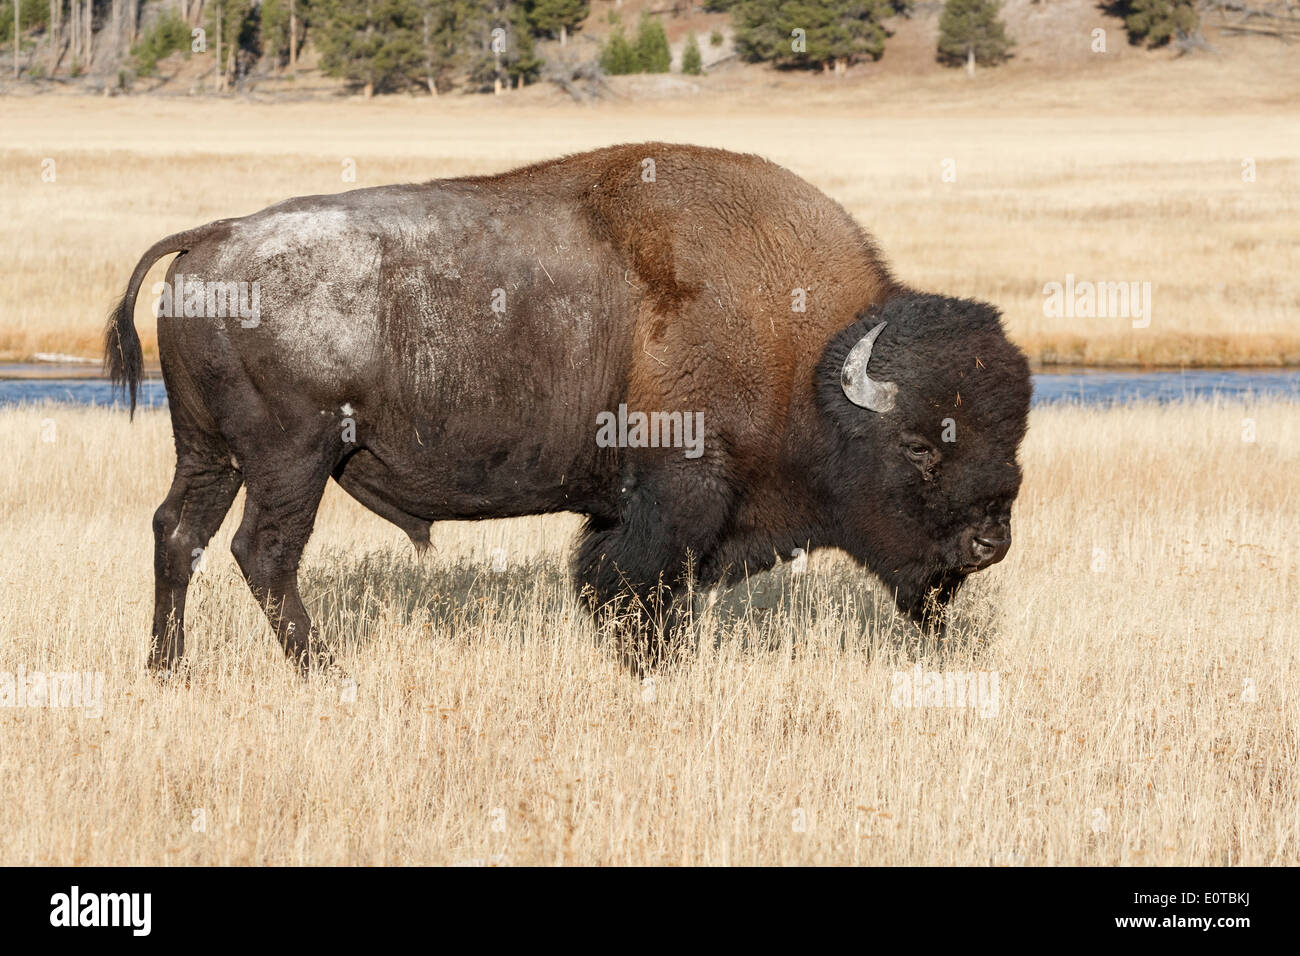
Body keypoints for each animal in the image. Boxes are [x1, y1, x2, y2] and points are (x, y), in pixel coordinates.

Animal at [105, 143, 1031, 675]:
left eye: (1013, 439)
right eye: (921, 446)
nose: (991, 541)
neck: (809, 359)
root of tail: (210, 238)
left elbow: (608, 580)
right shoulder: (679, 496)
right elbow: (638, 586)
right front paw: (652, 667)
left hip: (209, 451)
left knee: (177, 534)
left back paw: (168, 669)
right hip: (290, 459)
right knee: (262, 554)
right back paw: (326, 671)